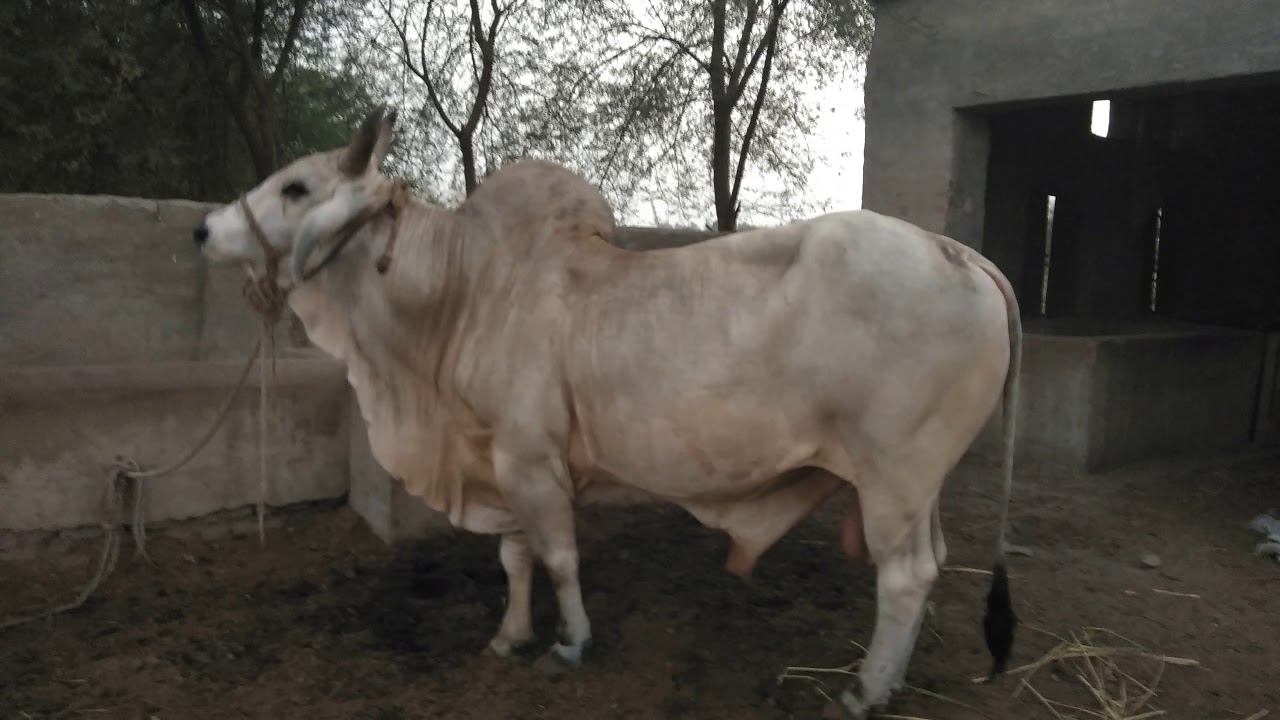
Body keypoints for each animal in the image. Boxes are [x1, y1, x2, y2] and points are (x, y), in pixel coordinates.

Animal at [192, 105, 1022, 719]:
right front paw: (510, 637)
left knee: (905, 577)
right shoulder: (499, 457)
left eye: (297, 187)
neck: (462, 293)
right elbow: (515, 558)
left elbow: (558, 557)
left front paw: (570, 643)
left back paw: (865, 690)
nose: (203, 229)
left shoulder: (531, 459)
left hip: (894, 475)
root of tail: (957, 252)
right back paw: (891, 678)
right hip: (918, 484)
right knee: (929, 564)